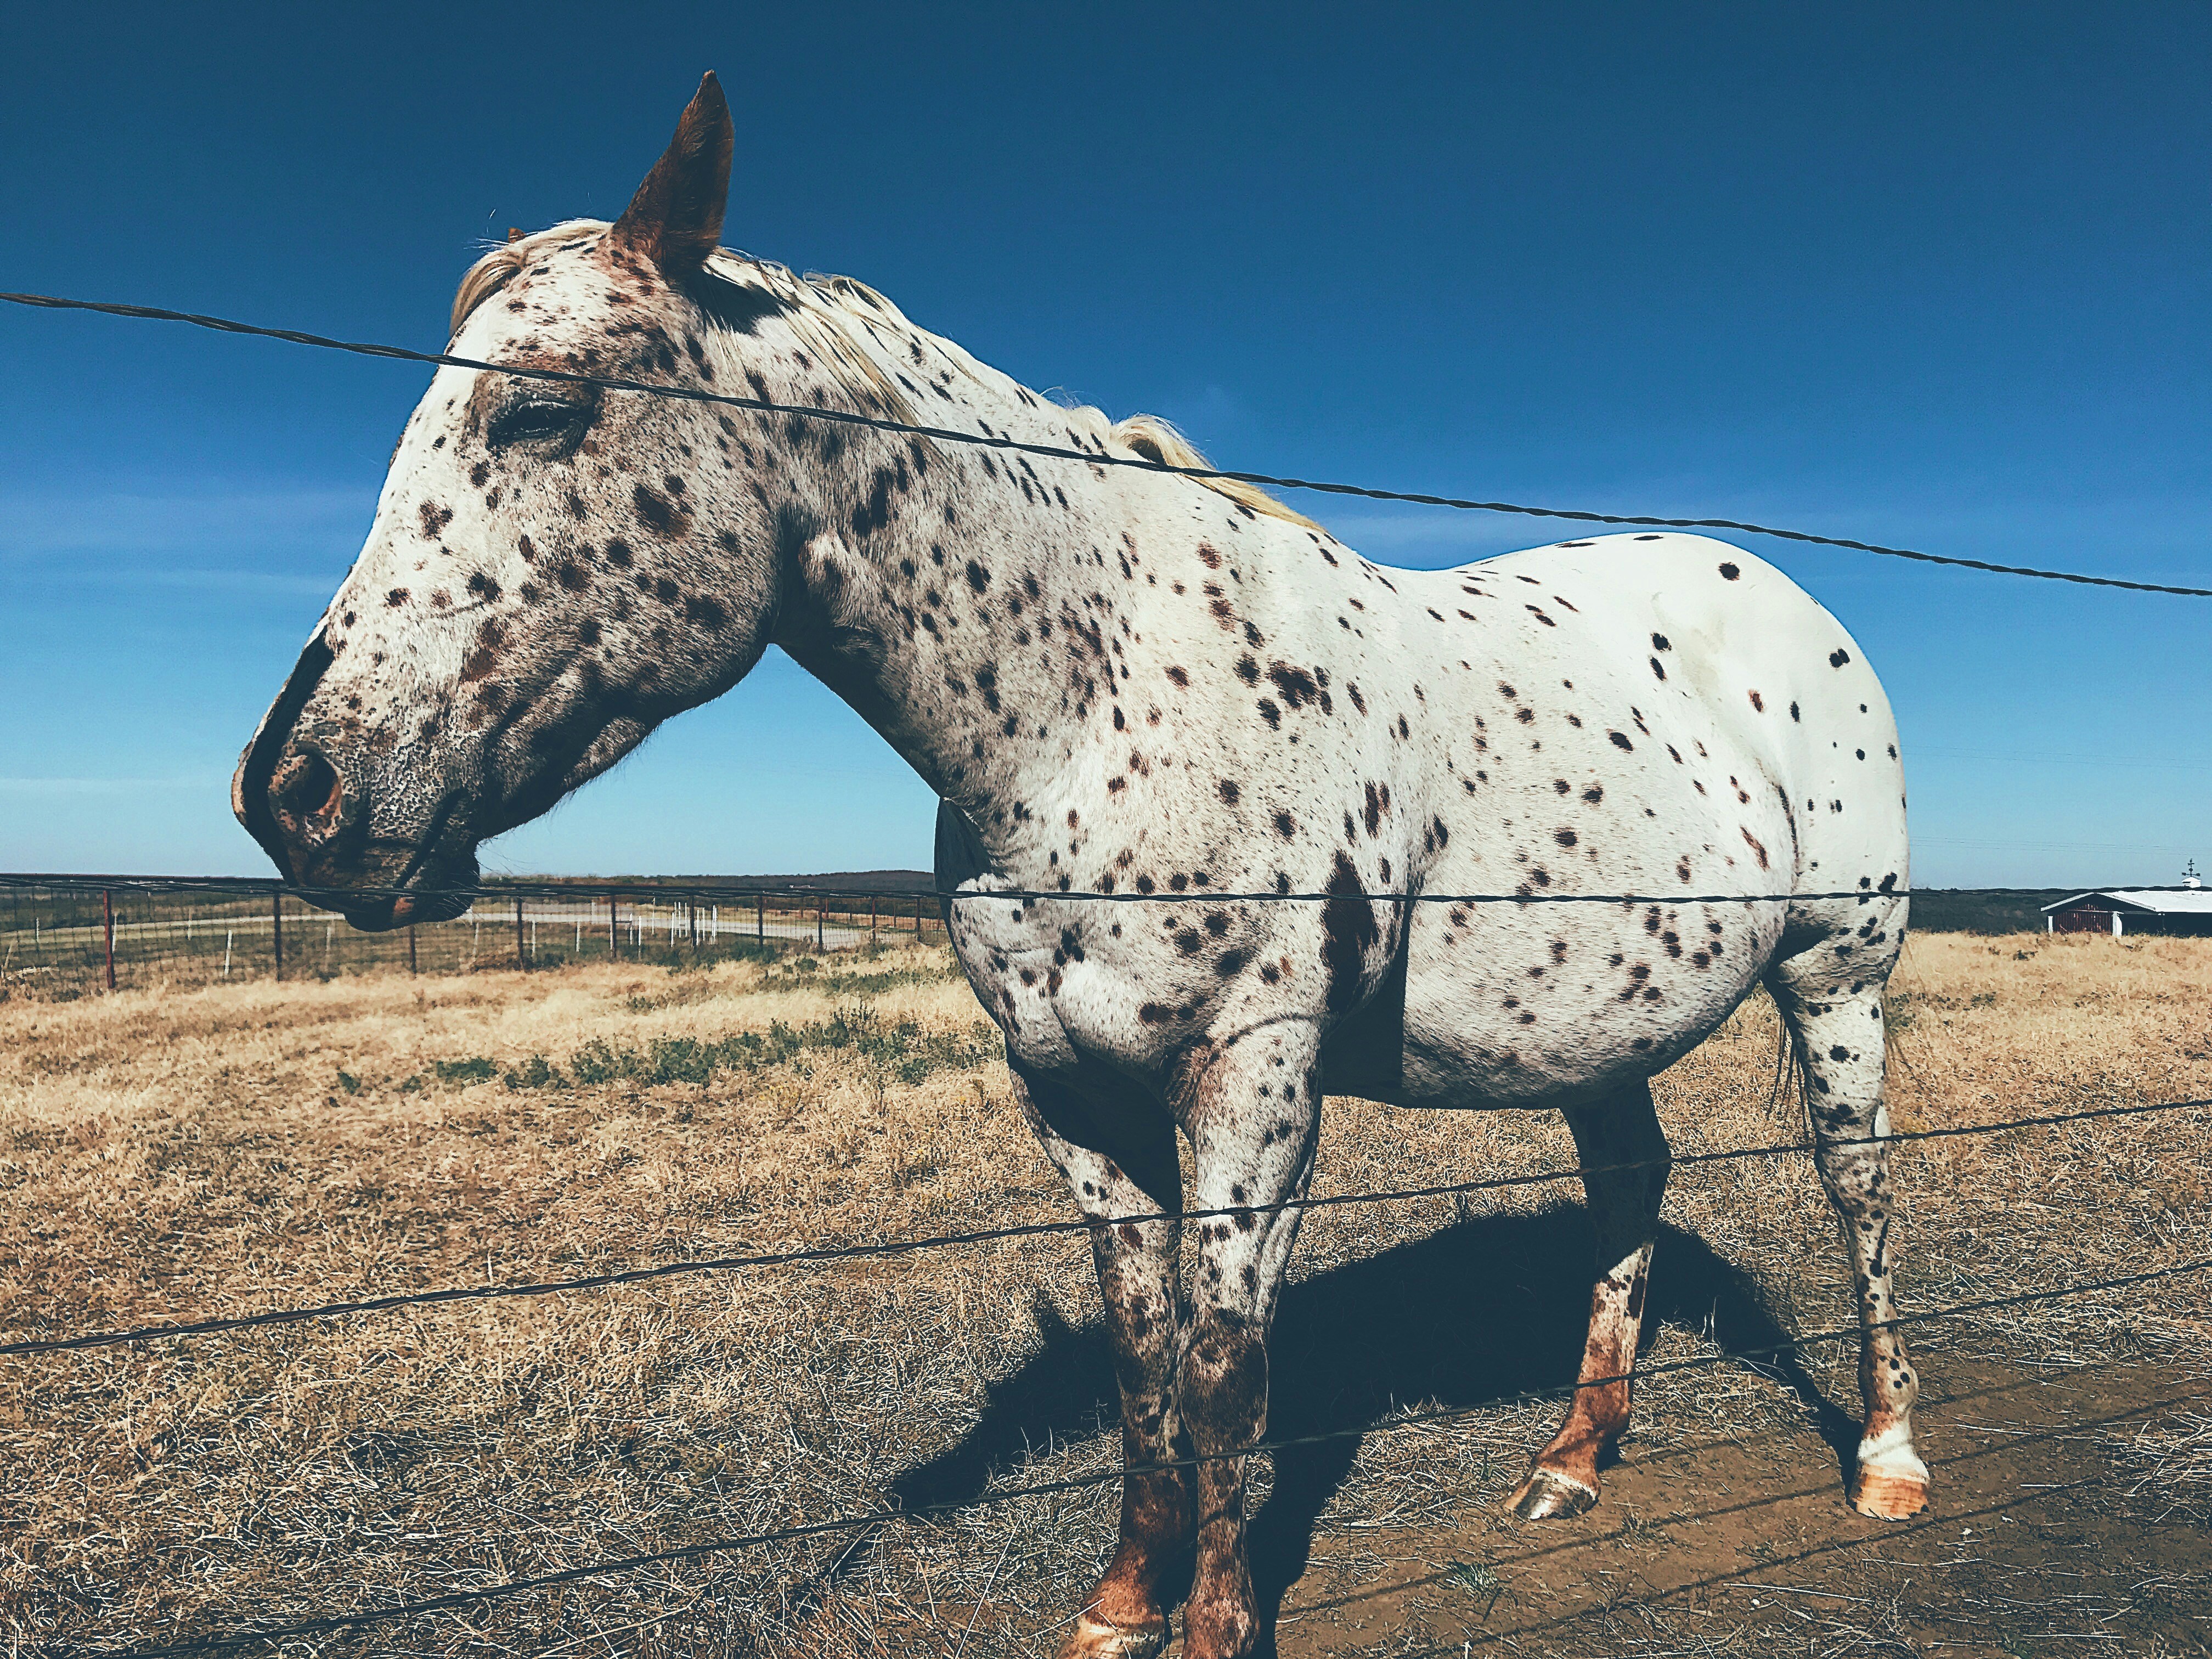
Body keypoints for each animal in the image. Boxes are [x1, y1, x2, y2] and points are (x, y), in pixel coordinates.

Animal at [235, 74, 1924, 1659]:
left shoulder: (1251, 1079)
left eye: (538, 409)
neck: (1097, 705)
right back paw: (1572, 1461)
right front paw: (1122, 1603)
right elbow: (1141, 1358)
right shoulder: (1067, 1089)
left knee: (1858, 1186)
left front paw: (1219, 1624)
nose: (294, 792)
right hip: (1597, 1022)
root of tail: (1788, 602)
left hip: (1836, 979)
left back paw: (1888, 1460)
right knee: (1628, 1183)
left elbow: (1228, 1370)